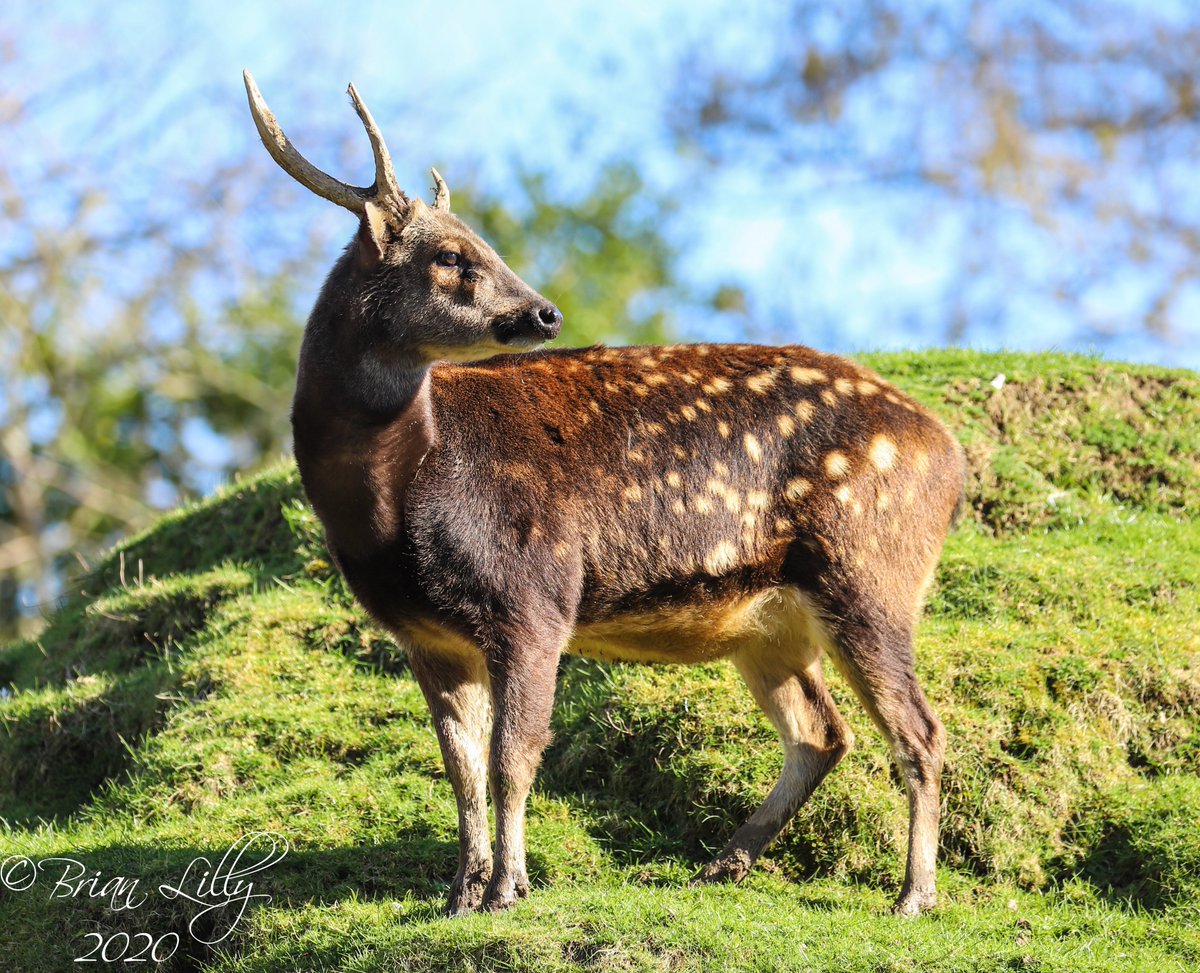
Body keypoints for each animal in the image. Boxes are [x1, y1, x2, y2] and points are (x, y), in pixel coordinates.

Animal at [243, 71, 967, 918]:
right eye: (453, 254)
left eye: (482, 243)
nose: (544, 310)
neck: (396, 501)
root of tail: (950, 454)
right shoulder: (425, 635)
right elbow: (458, 768)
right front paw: (458, 892)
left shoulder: (534, 595)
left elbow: (512, 757)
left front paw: (507, 888)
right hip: (771, 623)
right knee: (823, 733)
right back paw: (721, 864)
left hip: (869, 570)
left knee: (918, 728)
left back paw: (913, 894)